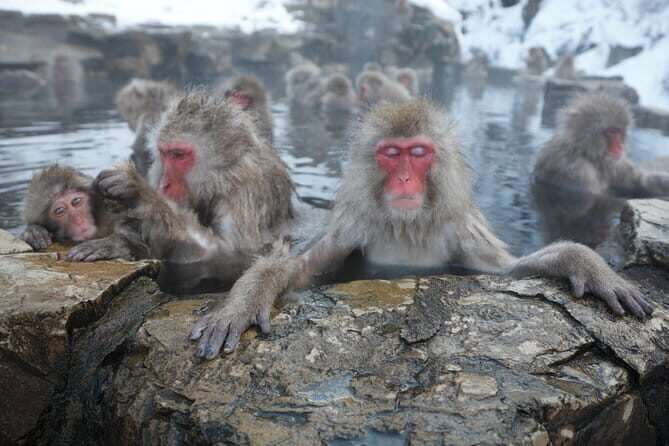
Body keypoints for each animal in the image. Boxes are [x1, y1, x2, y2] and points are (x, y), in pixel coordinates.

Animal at [95, 90, 295, 281]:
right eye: (164, 153)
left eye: (178, 154)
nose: (164, 184)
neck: (220, 177)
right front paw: (122, 243)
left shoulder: (245, 193)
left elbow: (224, 253)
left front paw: (139, 192)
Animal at [190, 99, 653, 359]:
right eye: (391, 153)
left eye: (418, 153)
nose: (405, 180)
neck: (407, 225)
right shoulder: (354, 226)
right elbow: (298, 269)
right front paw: (243, 302)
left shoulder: (462, 231)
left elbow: (508, 271)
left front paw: (586, 264)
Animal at [533, 93, 669, 197]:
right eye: (611, 131)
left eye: (619, 131)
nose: (620, 147)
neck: (586, 153)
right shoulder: (577, 171)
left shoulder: (616, 164)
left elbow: (640, 181)